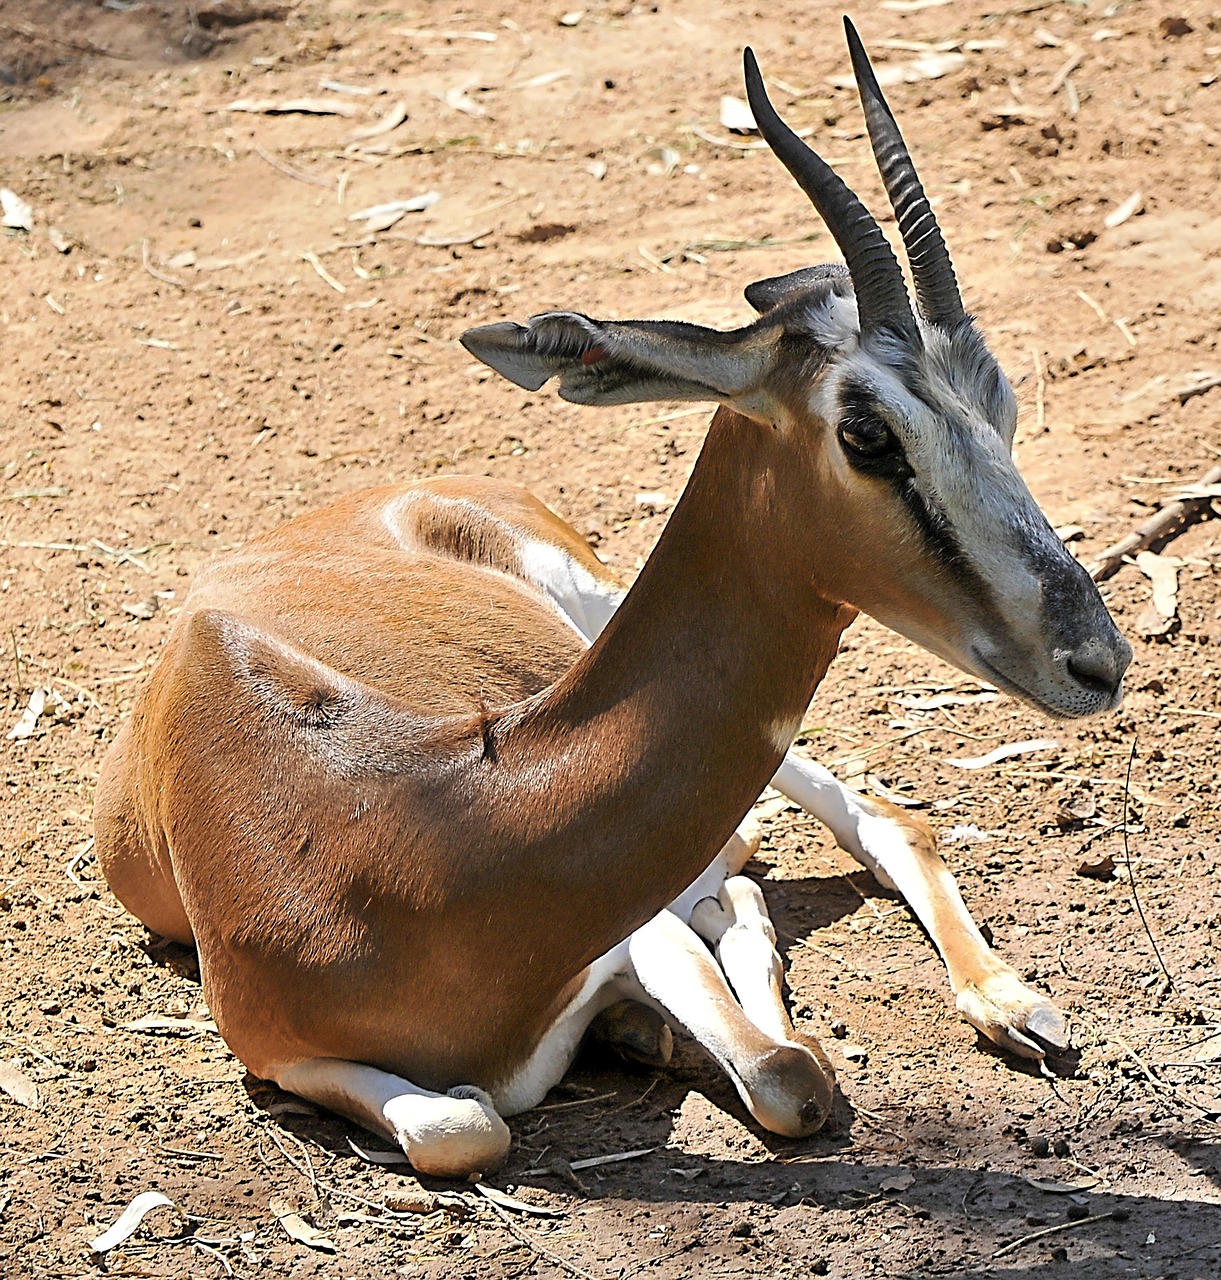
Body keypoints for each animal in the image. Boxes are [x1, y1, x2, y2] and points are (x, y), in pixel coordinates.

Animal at [94, 21, 1131, 1178]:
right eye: (867, 433)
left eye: (1002, 402)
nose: (1095, 657)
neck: (414, 837)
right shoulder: (275, 1047)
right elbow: (469, 1122)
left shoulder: (636, 927)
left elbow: (782, 1065)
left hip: (591, 608)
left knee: (881, 819)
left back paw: (1008, 1002)